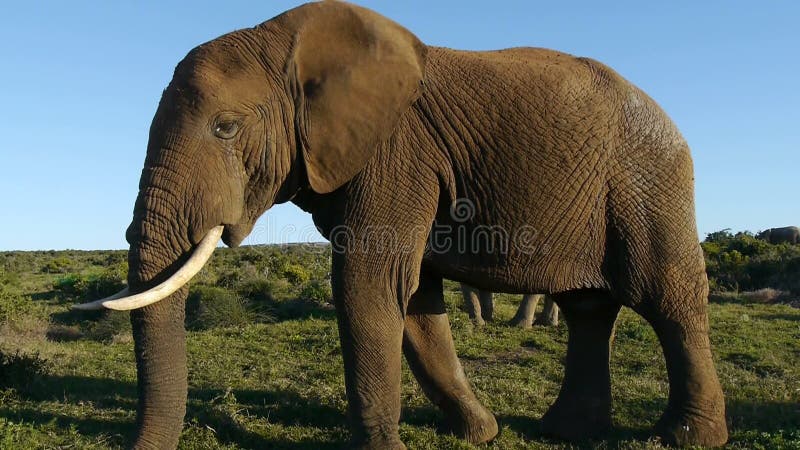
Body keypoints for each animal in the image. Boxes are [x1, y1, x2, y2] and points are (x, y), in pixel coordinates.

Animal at [74, 2, 728, 448]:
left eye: (226, 128)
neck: (287, 43)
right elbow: (412, 297)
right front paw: (481, 433)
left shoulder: (395, 153)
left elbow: (368, 283)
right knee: (589, 307)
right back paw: (565, 432)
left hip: (648, 179)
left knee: (663, 294)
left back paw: (686, 438)